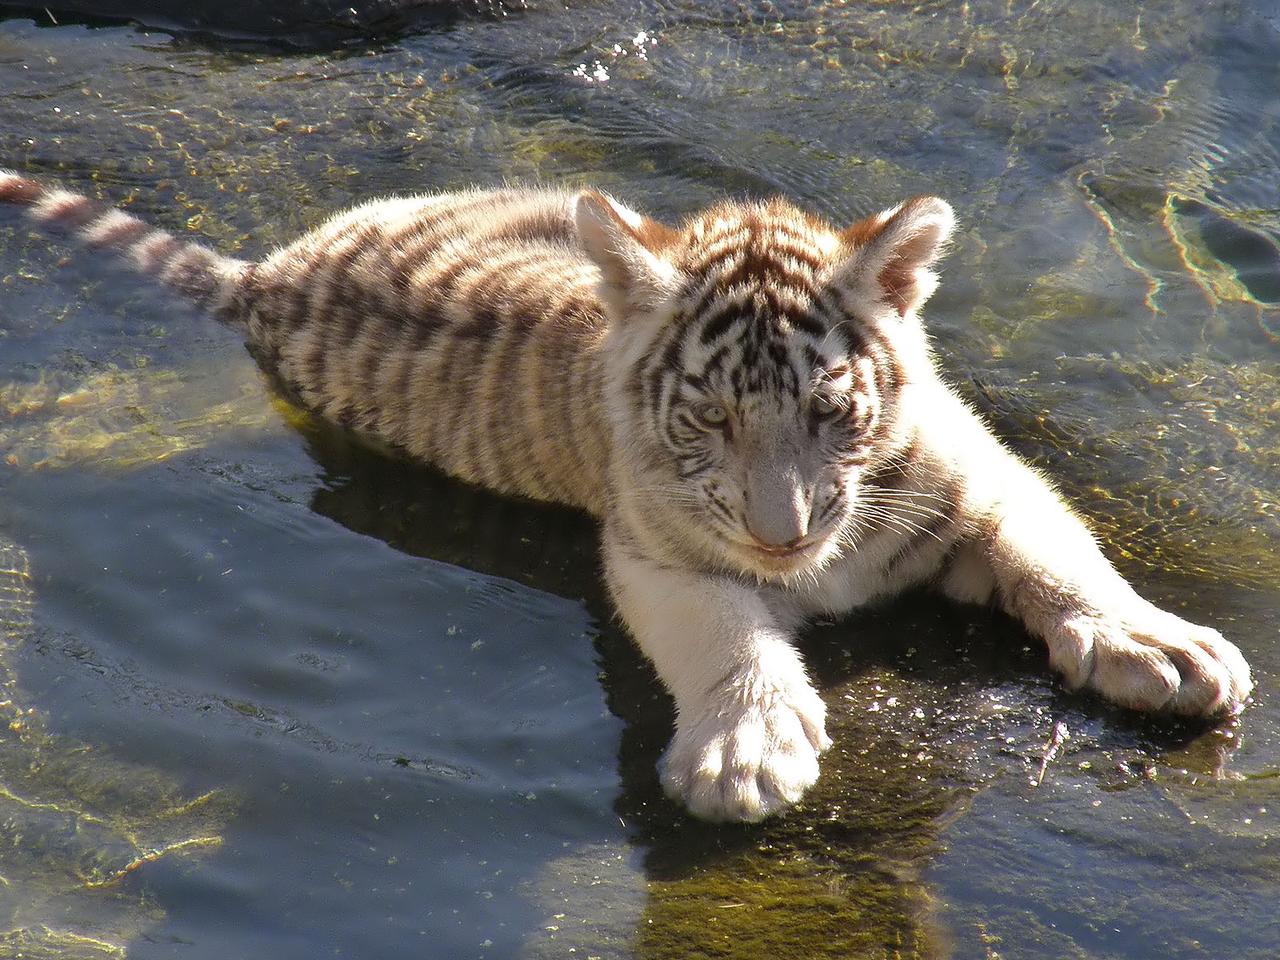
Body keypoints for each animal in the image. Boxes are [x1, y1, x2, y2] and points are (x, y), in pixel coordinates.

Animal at [0, 169, 1252, 822]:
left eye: (828, 412)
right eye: (708, 420)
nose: (782, 536)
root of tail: (271, 273)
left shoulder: (981, 476)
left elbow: (1058, 552)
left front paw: (1158, 645)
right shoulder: (655, 549)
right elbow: (722, 632)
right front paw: (748, 748)